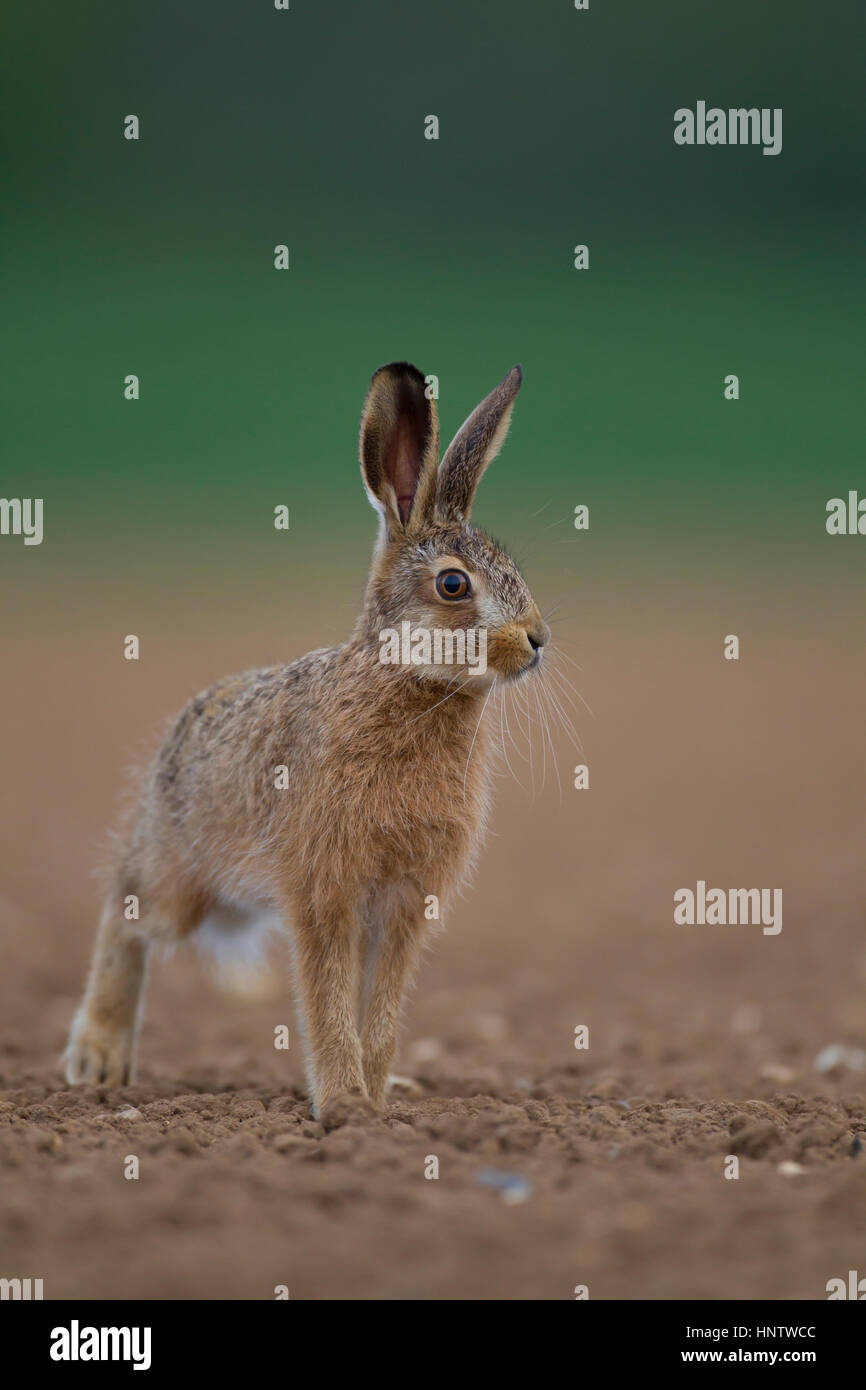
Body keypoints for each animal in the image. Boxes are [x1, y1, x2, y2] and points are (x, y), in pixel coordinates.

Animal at [64, 362, 550, 1118]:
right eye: (453, 584)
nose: (536, 640)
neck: (406, 682)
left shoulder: (404, 901)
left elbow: (382, 1009)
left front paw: (380, 1099)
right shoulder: (324, 887)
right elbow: (326, 1001)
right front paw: (345, 1106)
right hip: (181, 876)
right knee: (124, 907)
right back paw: (99, 1058)